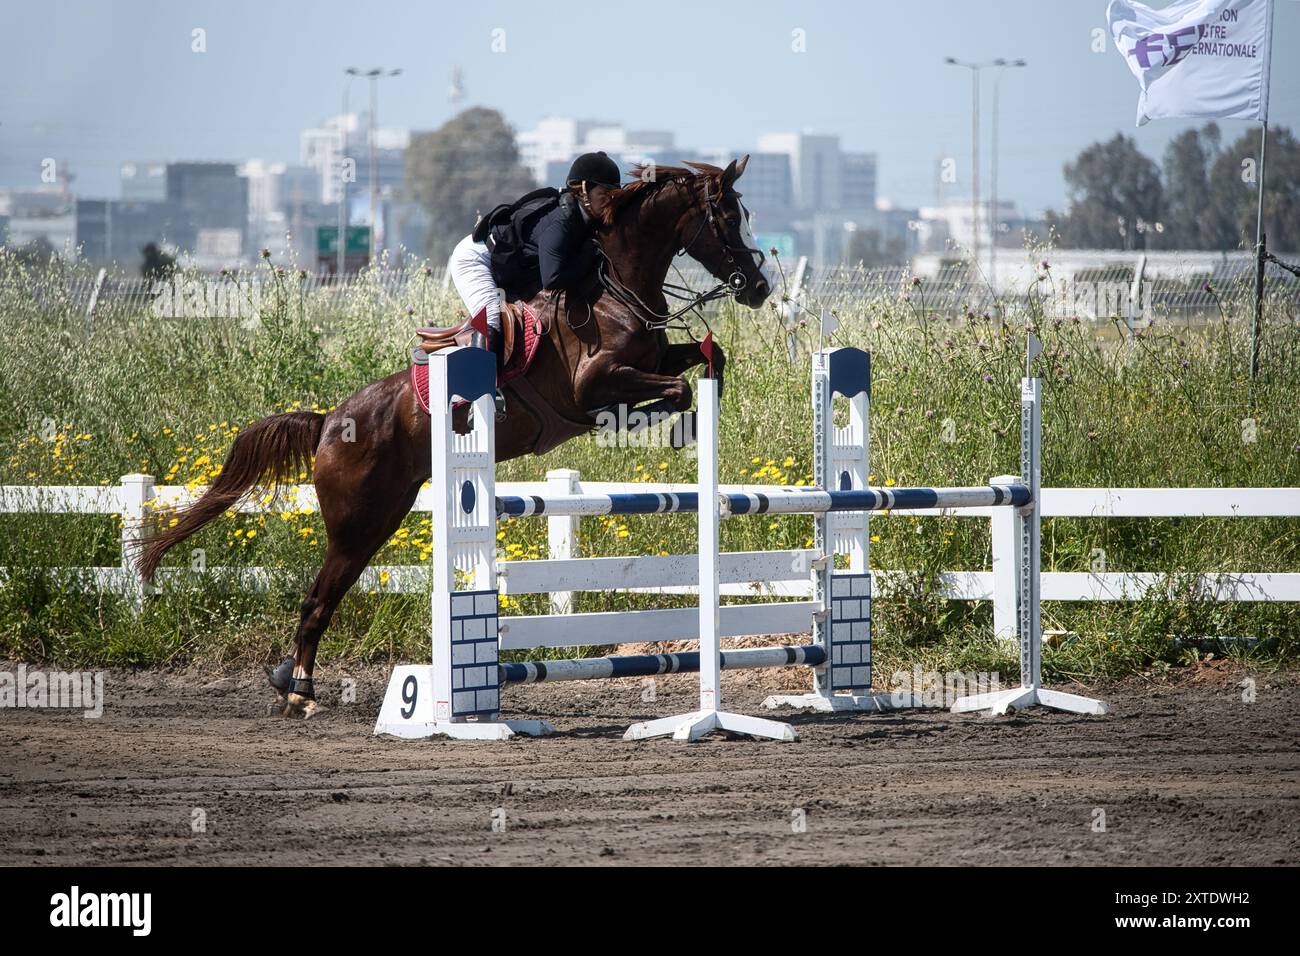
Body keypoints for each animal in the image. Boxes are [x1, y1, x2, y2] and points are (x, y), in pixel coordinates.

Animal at [136, 157, 774, 716]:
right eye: (727, 218)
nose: (760, 288)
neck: (616, 287)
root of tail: (329, 422)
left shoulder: (651, 358)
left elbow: (706, 361)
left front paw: (691, 408)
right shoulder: (592, 385)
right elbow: (674, 390)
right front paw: (665, 424)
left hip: (383, 517)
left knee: (325, 598)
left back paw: (290, 683)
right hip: (356, 525)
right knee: (317, 601)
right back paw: (299, 694)